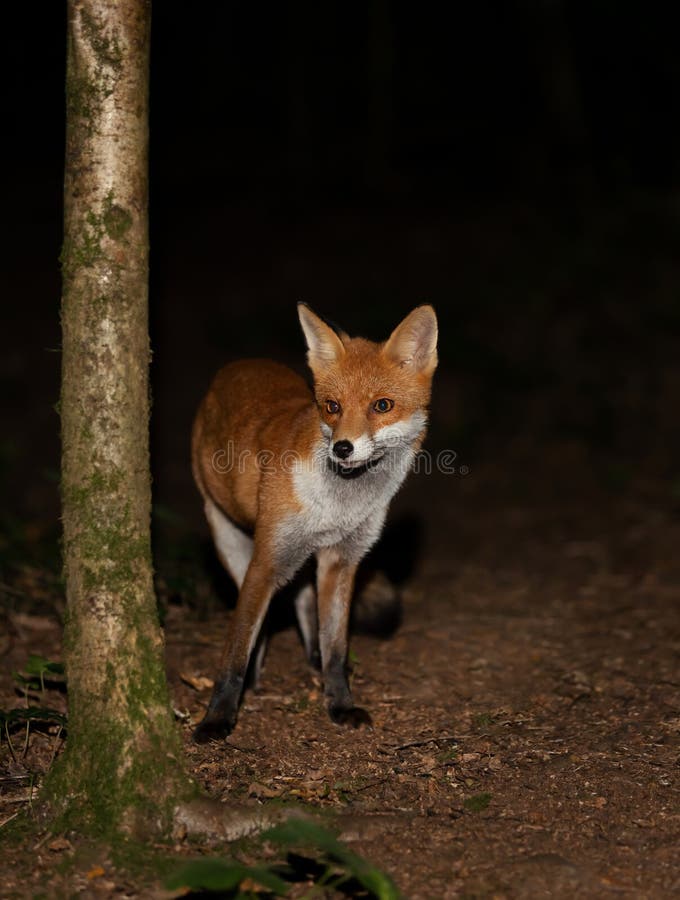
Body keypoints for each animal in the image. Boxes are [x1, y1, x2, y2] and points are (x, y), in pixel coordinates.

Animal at [191, 303, 438, 742]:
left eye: (382, 405)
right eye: (331, 406)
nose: (342, 448)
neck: (339, 506)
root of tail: (239, 364)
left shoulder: (342, 558)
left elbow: (337, 646)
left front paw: (339, 703)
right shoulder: (267, 557)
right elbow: (234, 652)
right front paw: (217, 719)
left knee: (302, 598)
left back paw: (311, 658)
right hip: (230, 540)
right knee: (260, 615)